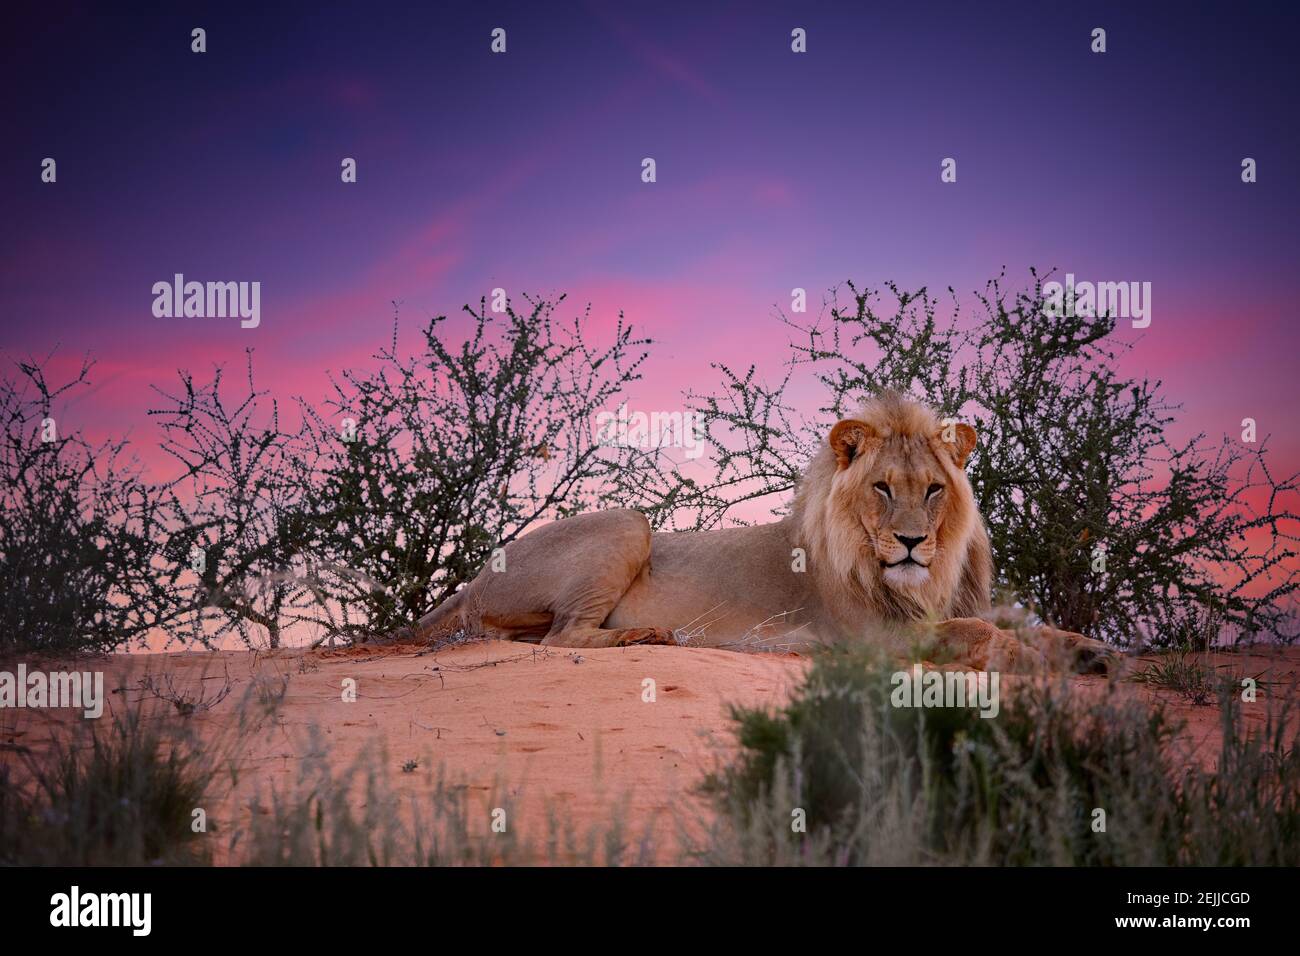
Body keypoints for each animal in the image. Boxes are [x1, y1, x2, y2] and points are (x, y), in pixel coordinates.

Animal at [399, 391, 1110, 672]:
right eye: (882, 488)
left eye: (933, 490)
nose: (911, 542)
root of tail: (470, 581)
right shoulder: (868, 634)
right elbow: (982, 633)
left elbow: (1032, 628)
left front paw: (1096, 654)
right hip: (629, 522)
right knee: (561, 638)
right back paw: (647, 636)